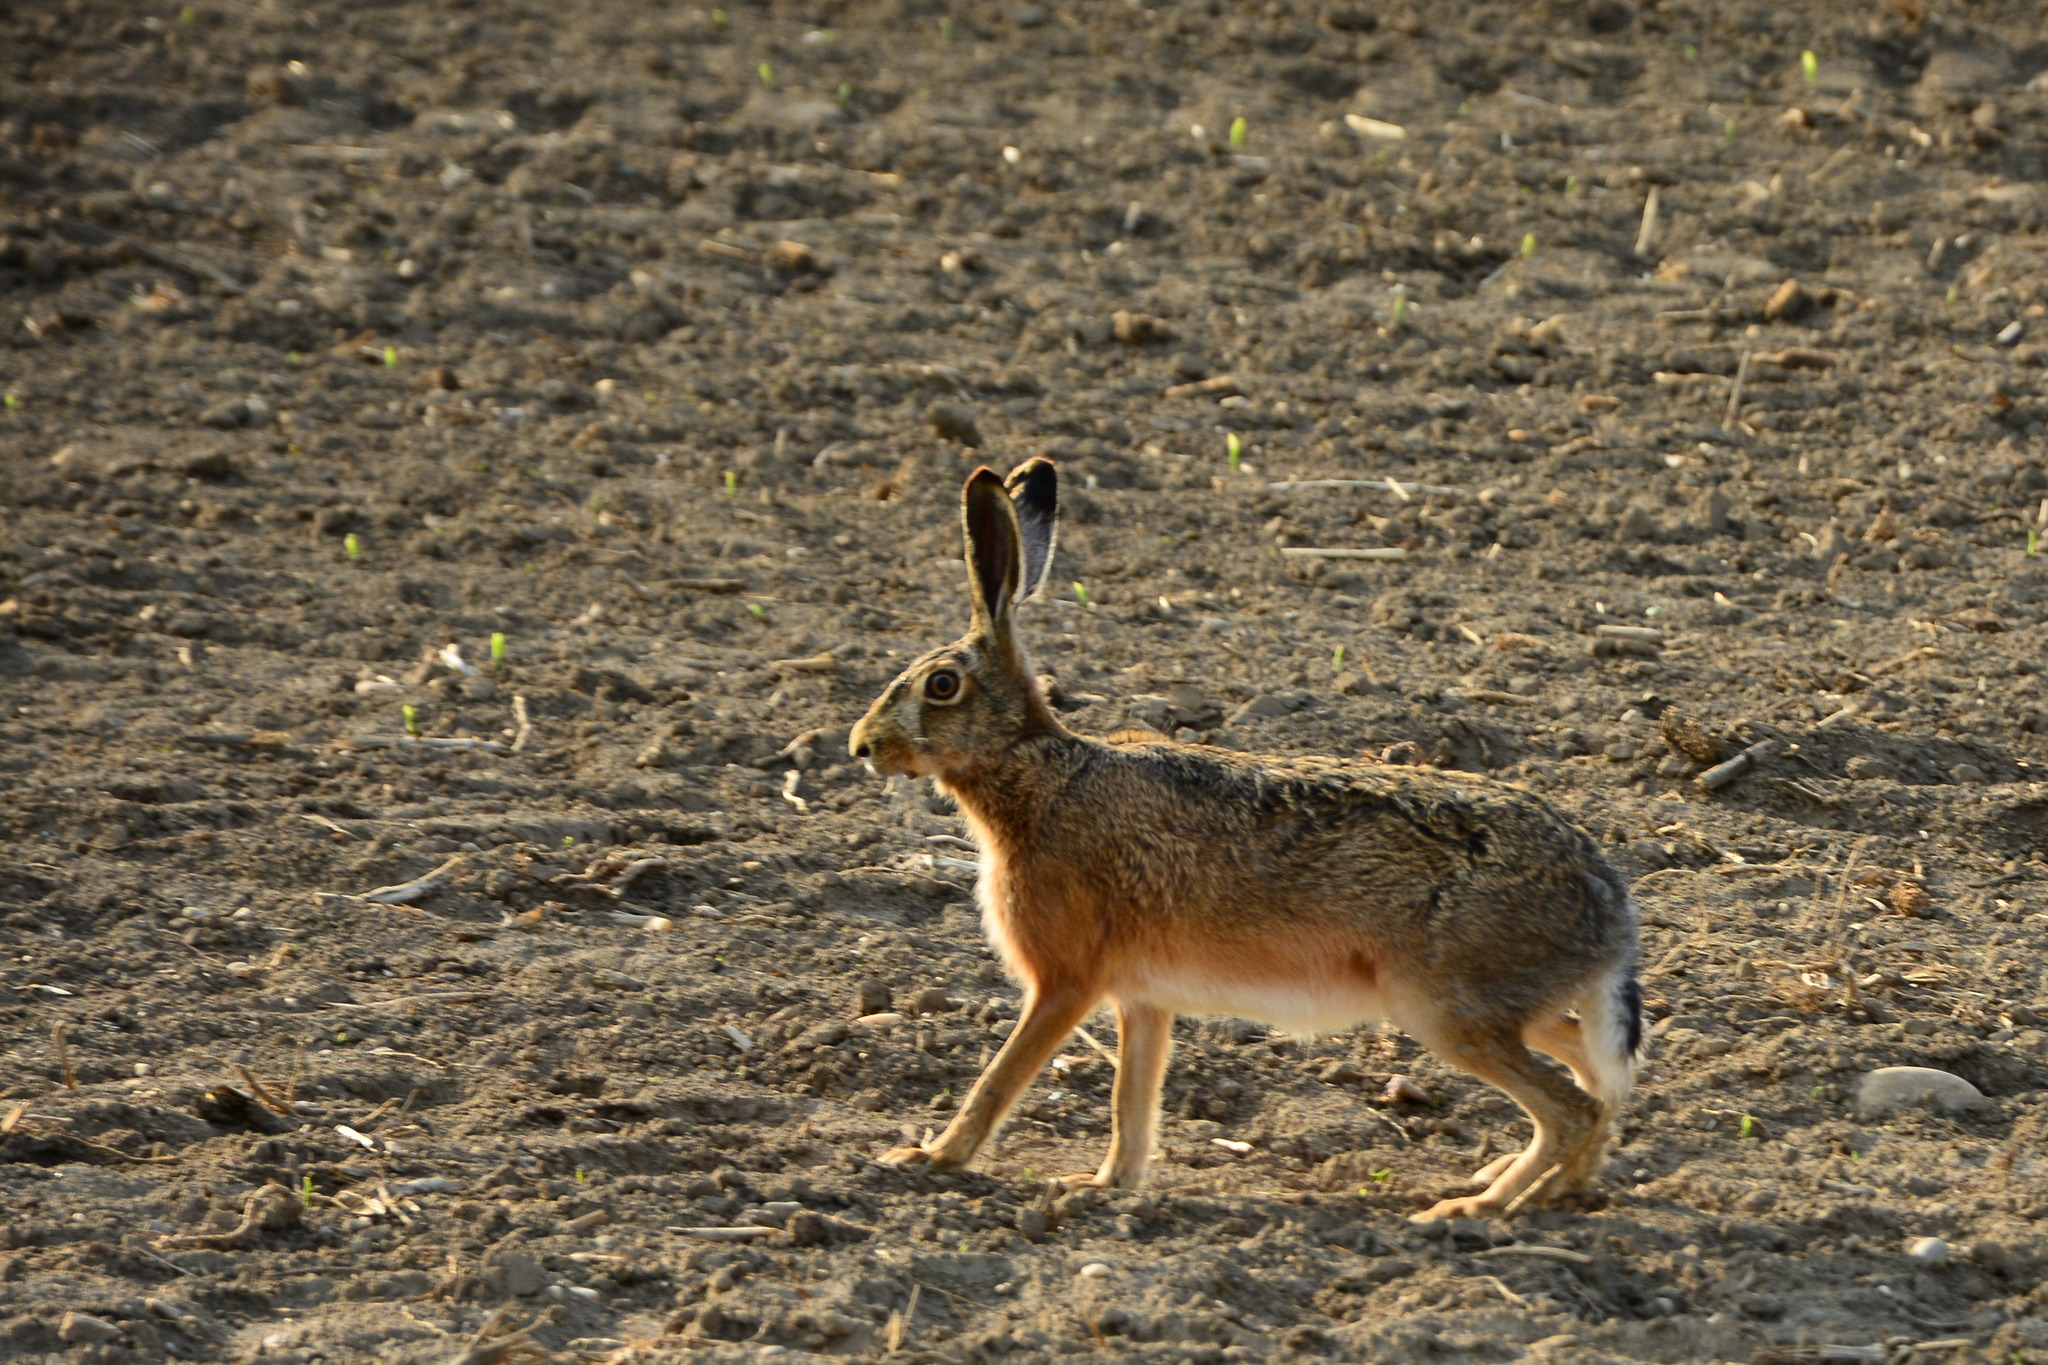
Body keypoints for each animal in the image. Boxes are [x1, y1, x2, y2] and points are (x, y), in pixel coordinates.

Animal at [847, 459, 1642, 1221]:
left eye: (941, 685)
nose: (862, 746)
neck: (1037, 768)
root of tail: (1608, 903)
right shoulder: (1142, 999)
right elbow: (1131, 1102)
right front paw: (1105, 1184)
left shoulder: (1066, 981)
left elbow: (1000, 1079)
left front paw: (929, 1158)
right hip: (1493, 1008)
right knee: (1594, 1073)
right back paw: (1555, 1187)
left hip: (1443, 1007)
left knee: (1571, 1106)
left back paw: (1475, 1206)